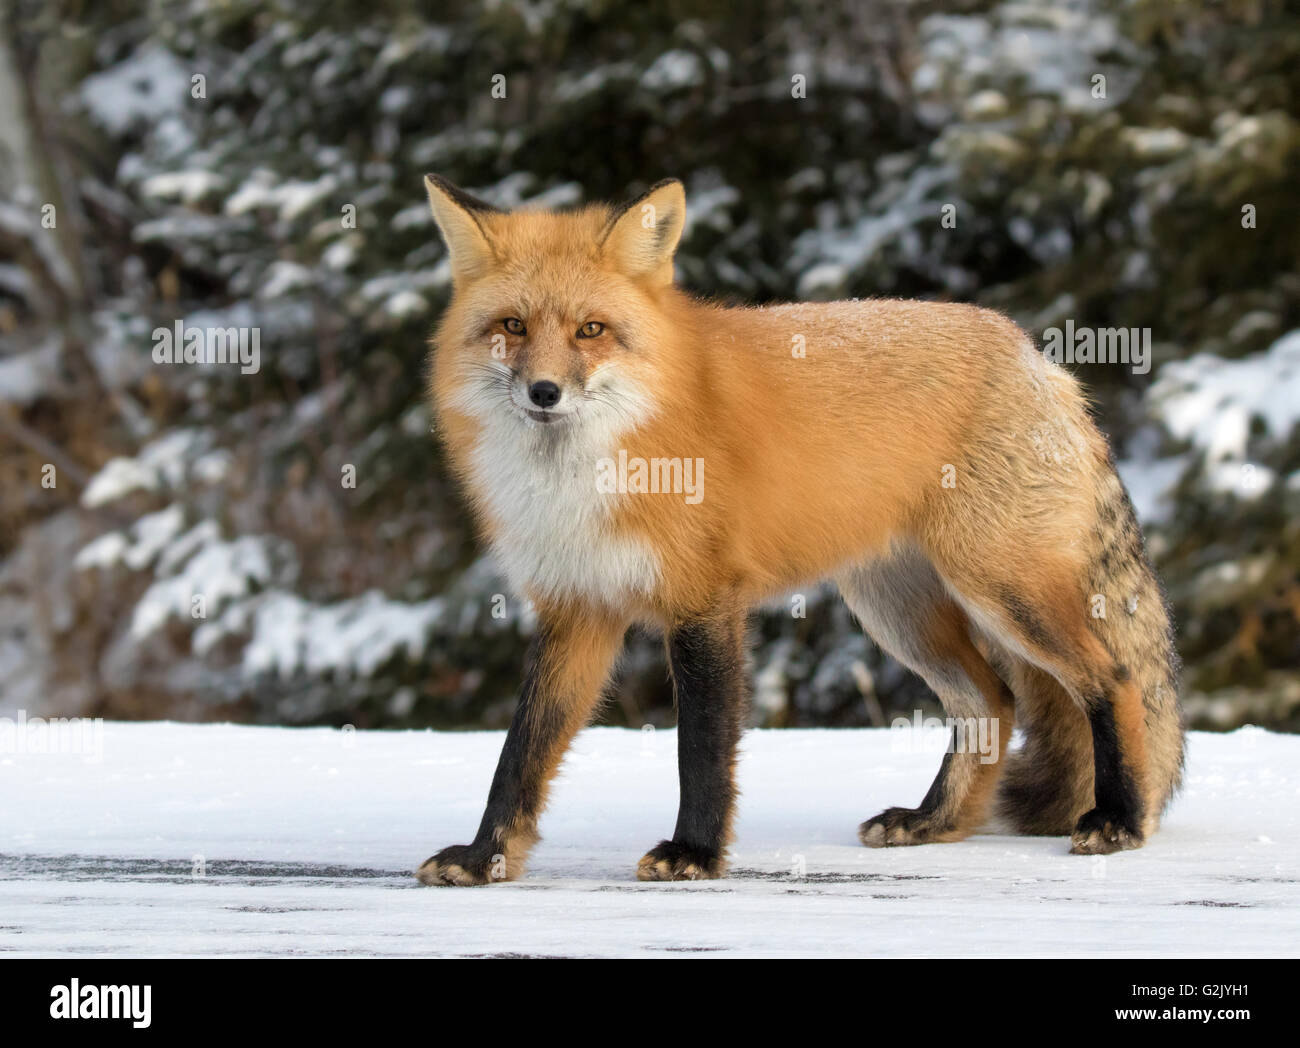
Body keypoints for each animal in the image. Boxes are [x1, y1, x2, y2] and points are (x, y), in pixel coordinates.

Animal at [416, 174, 1184, 885]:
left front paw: (694, 853)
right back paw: (931, 821)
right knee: (991, 703)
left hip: (1001, 589)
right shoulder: (578, 607)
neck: (588, 473)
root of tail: (1038, 357)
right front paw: (484, 857)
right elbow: (519, 752)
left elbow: (701, 749)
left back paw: (1119, 819)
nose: (544, 392)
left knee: (1111, 677)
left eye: (591, 330)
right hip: (898, 610)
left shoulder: (705, 601)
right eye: (513, 327)